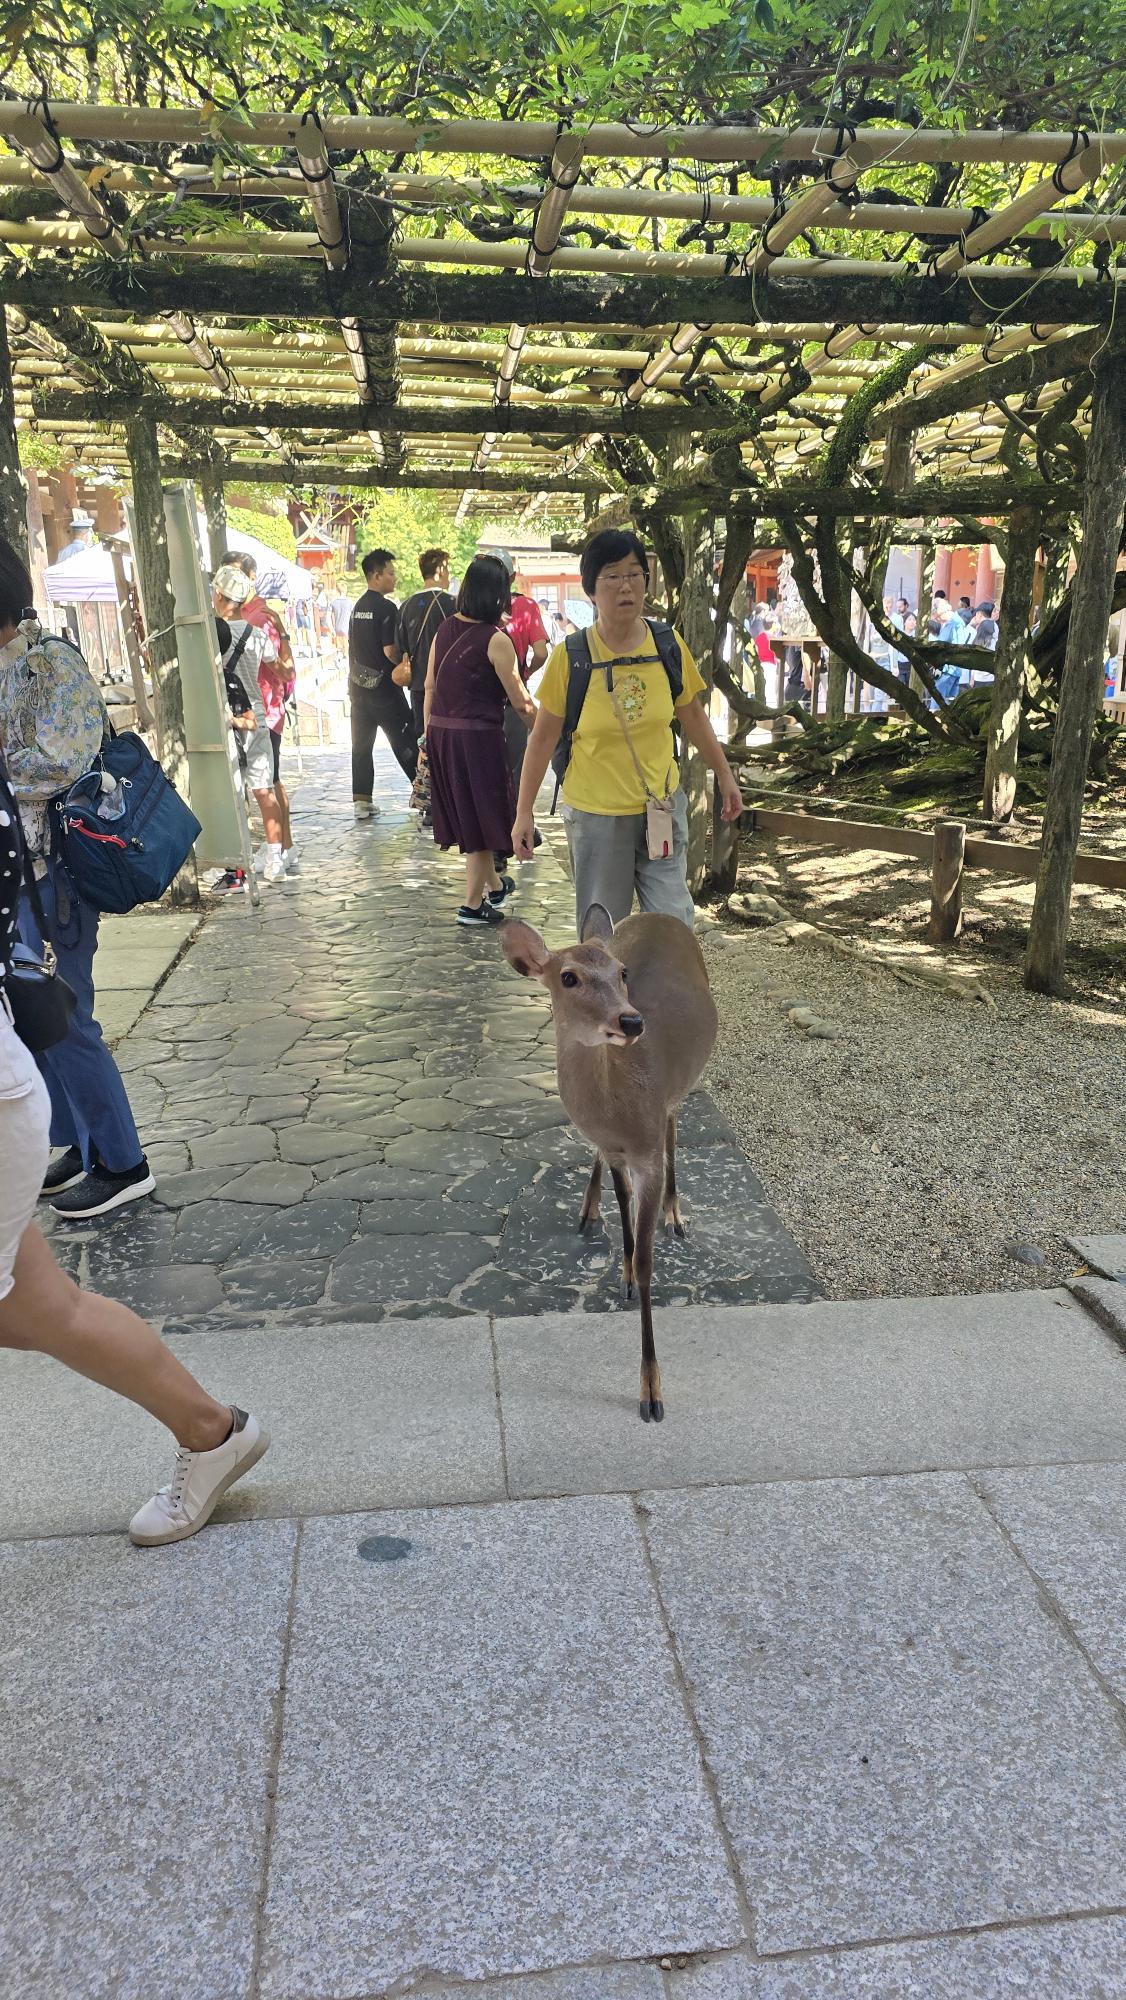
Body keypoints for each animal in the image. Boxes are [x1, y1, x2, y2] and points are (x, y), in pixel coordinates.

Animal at [504, 908, 724, 1424]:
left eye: (622, 973)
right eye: (568, 977)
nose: (631, 1020)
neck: (618, 1112)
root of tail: (658, 913)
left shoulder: (645, 1152)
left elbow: (647, 1261)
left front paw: (651, 1394)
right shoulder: (618, 1151)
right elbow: (623, 1211)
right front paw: (620, 1272)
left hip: (682, 1085)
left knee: (674, 1123)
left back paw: (674, 1213)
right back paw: (588, 1211)